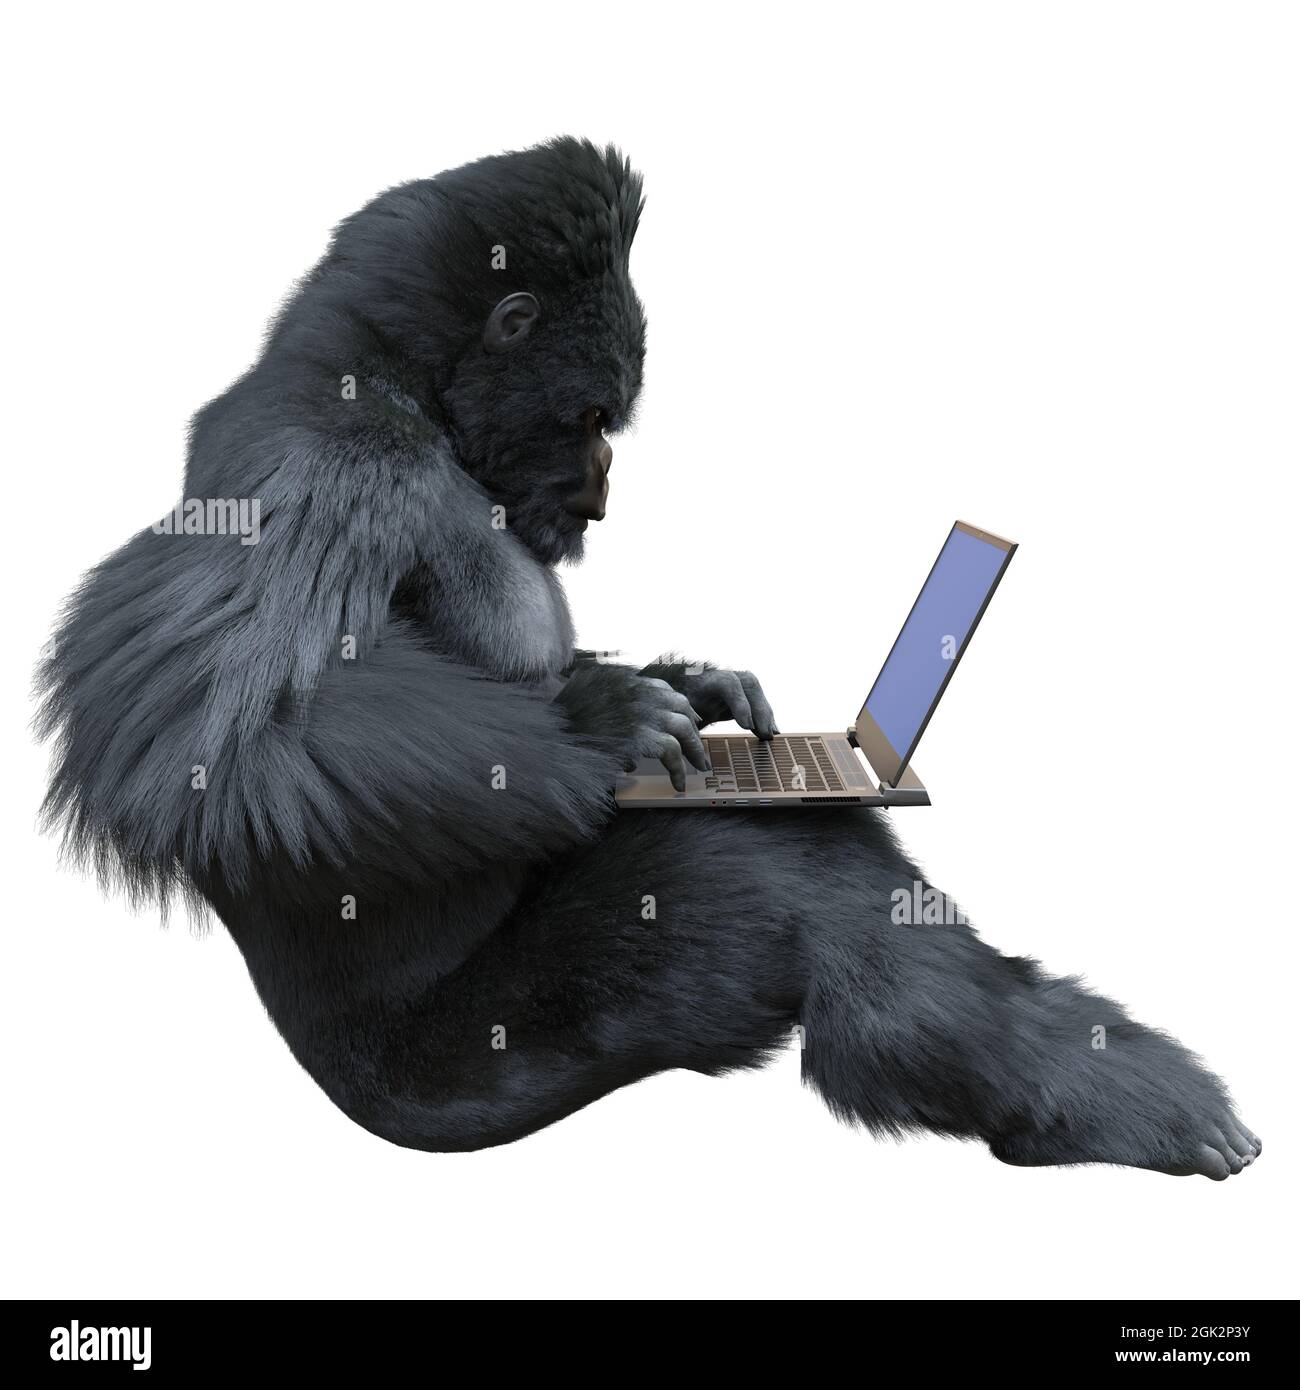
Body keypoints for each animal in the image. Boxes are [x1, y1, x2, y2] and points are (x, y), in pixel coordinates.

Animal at [37, 138, 1259, 1178]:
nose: (603, 481)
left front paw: (696, 686)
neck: (406, 396)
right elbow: (228, 744)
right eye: (590, 416)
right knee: (776, 867)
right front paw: (605, 721)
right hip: (501, 1045)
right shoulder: (333, 463)